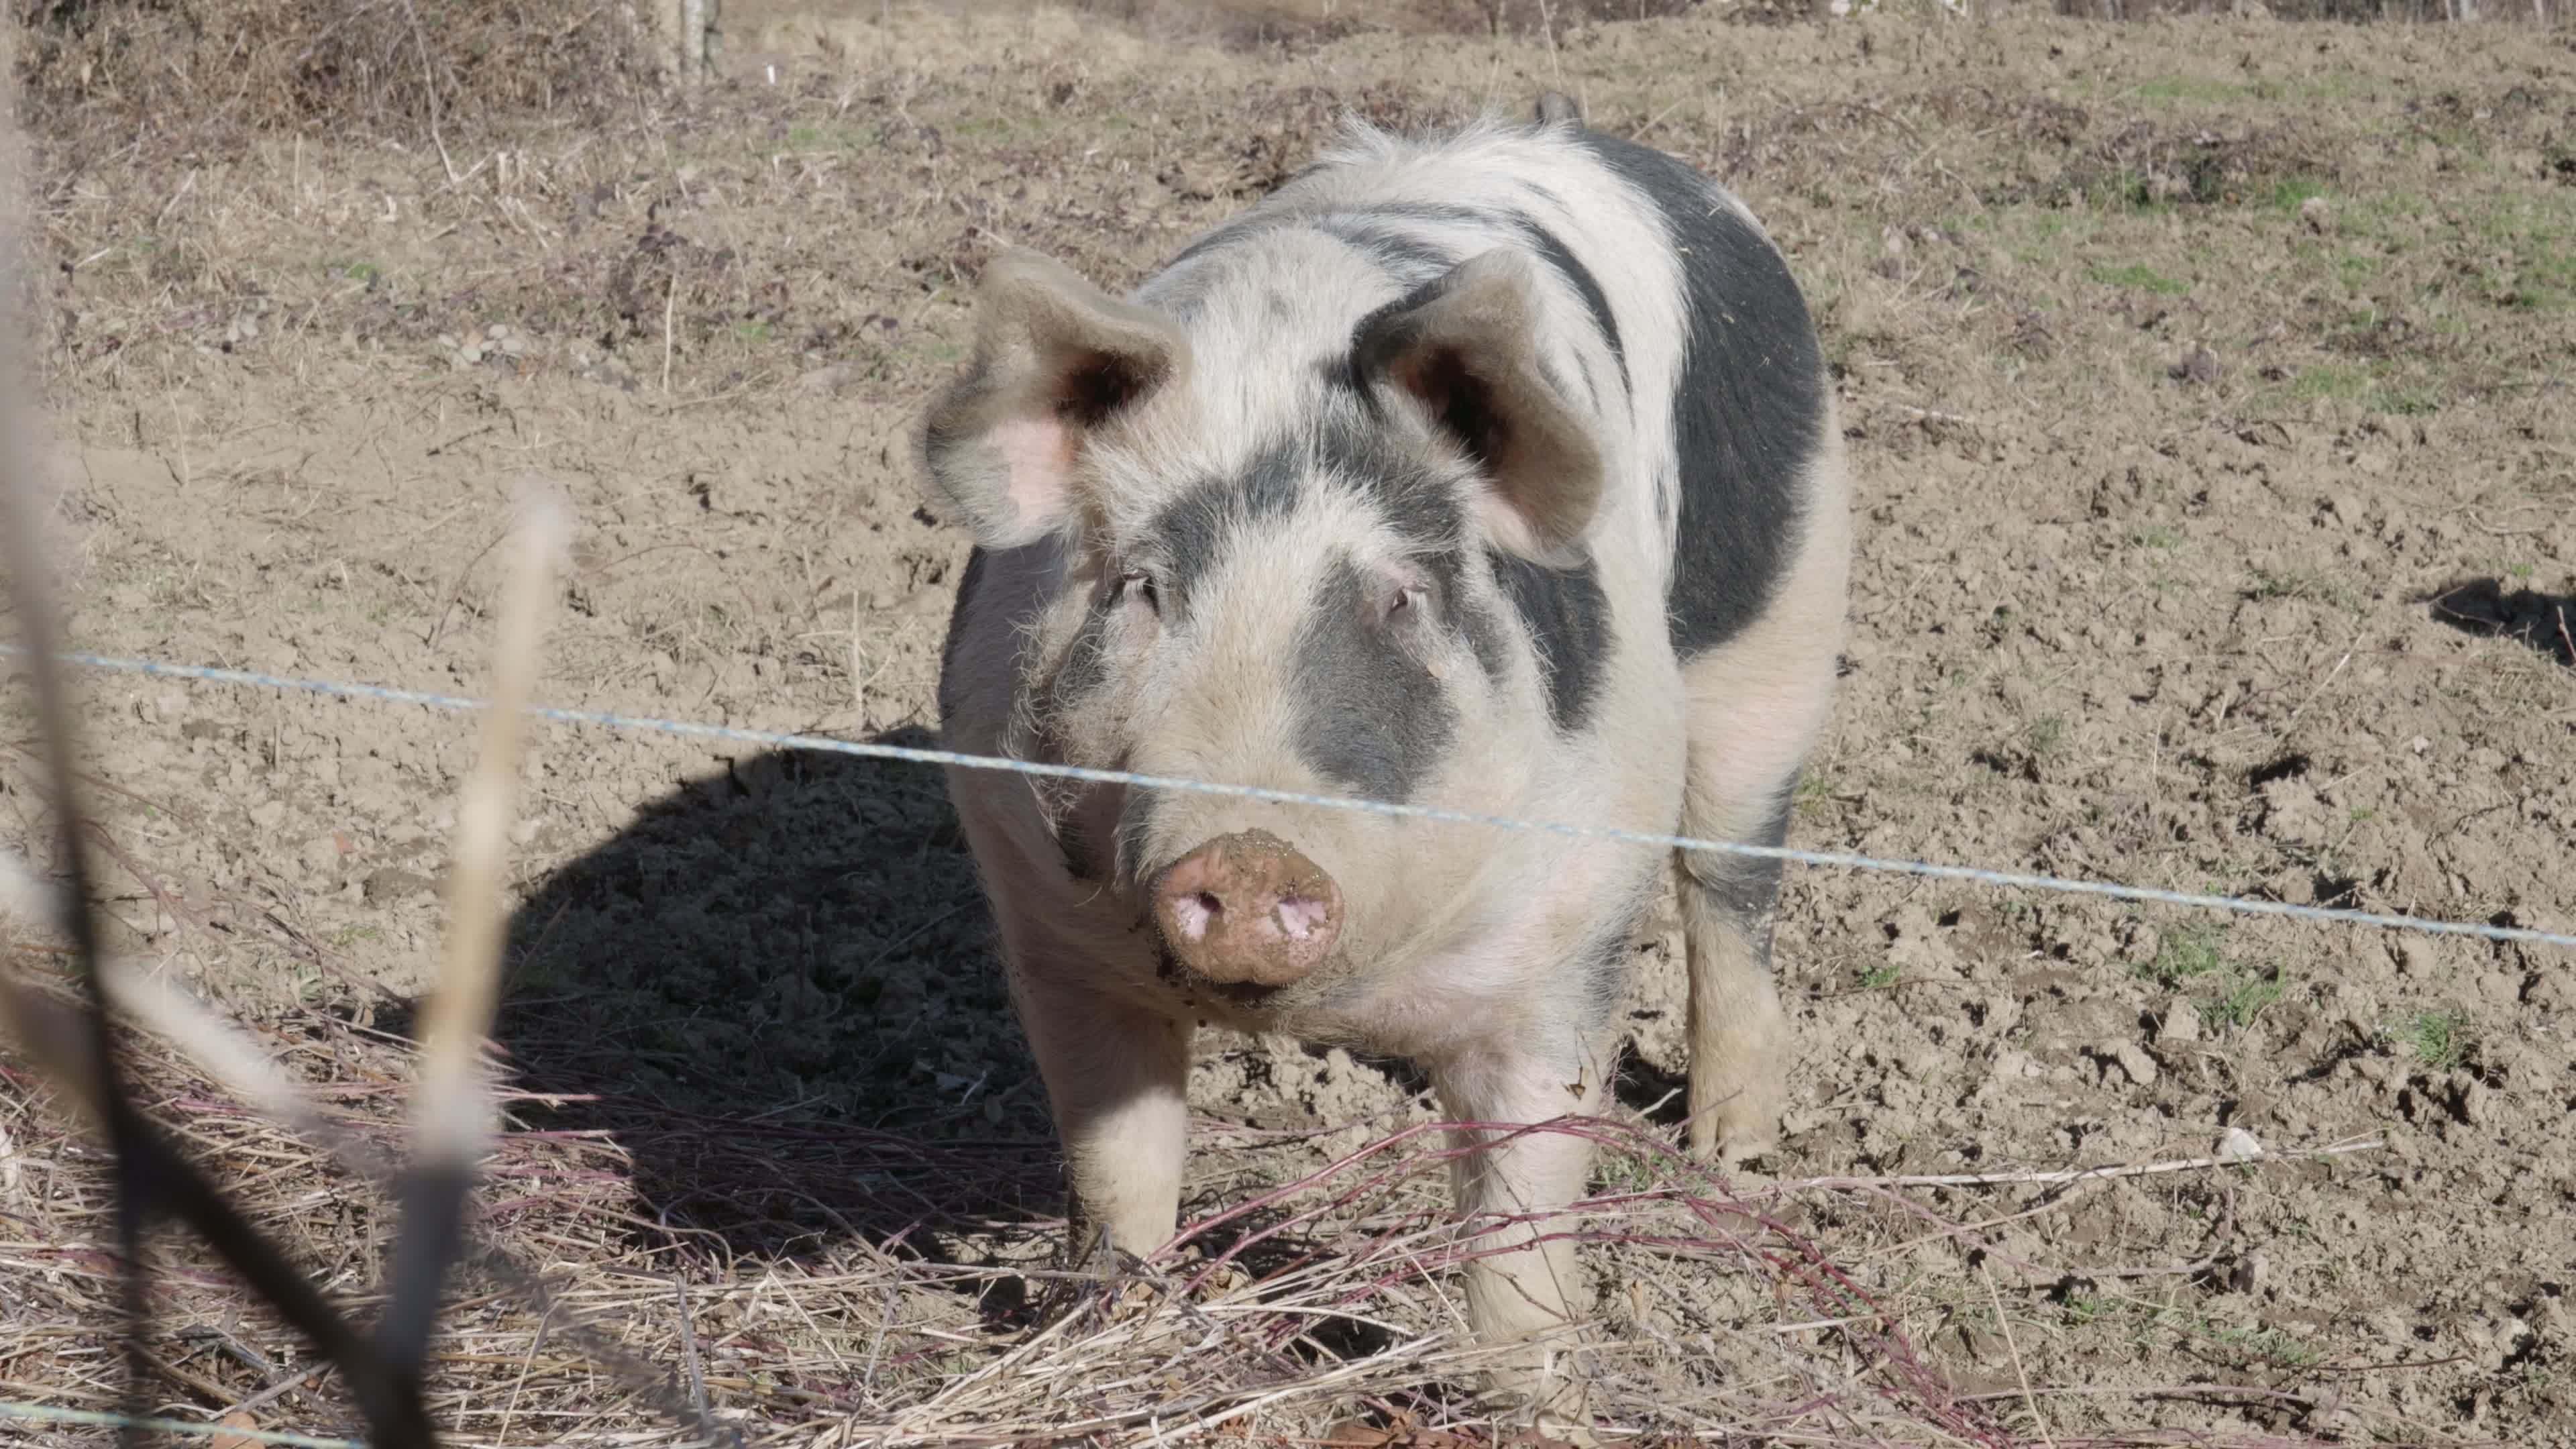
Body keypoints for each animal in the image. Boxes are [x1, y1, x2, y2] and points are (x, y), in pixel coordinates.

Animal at [920, 91, 1849, 1421]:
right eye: (1142, 588)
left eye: (1403, 598)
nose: (1252, 853)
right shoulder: (1043, 927)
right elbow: (1119, 1167)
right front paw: (1109, 1338)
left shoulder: (1567, 934)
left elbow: (1524, 1219)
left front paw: (1532, 1407)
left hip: (1781, 631)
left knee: (1733, 882)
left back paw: (1731, 1156)